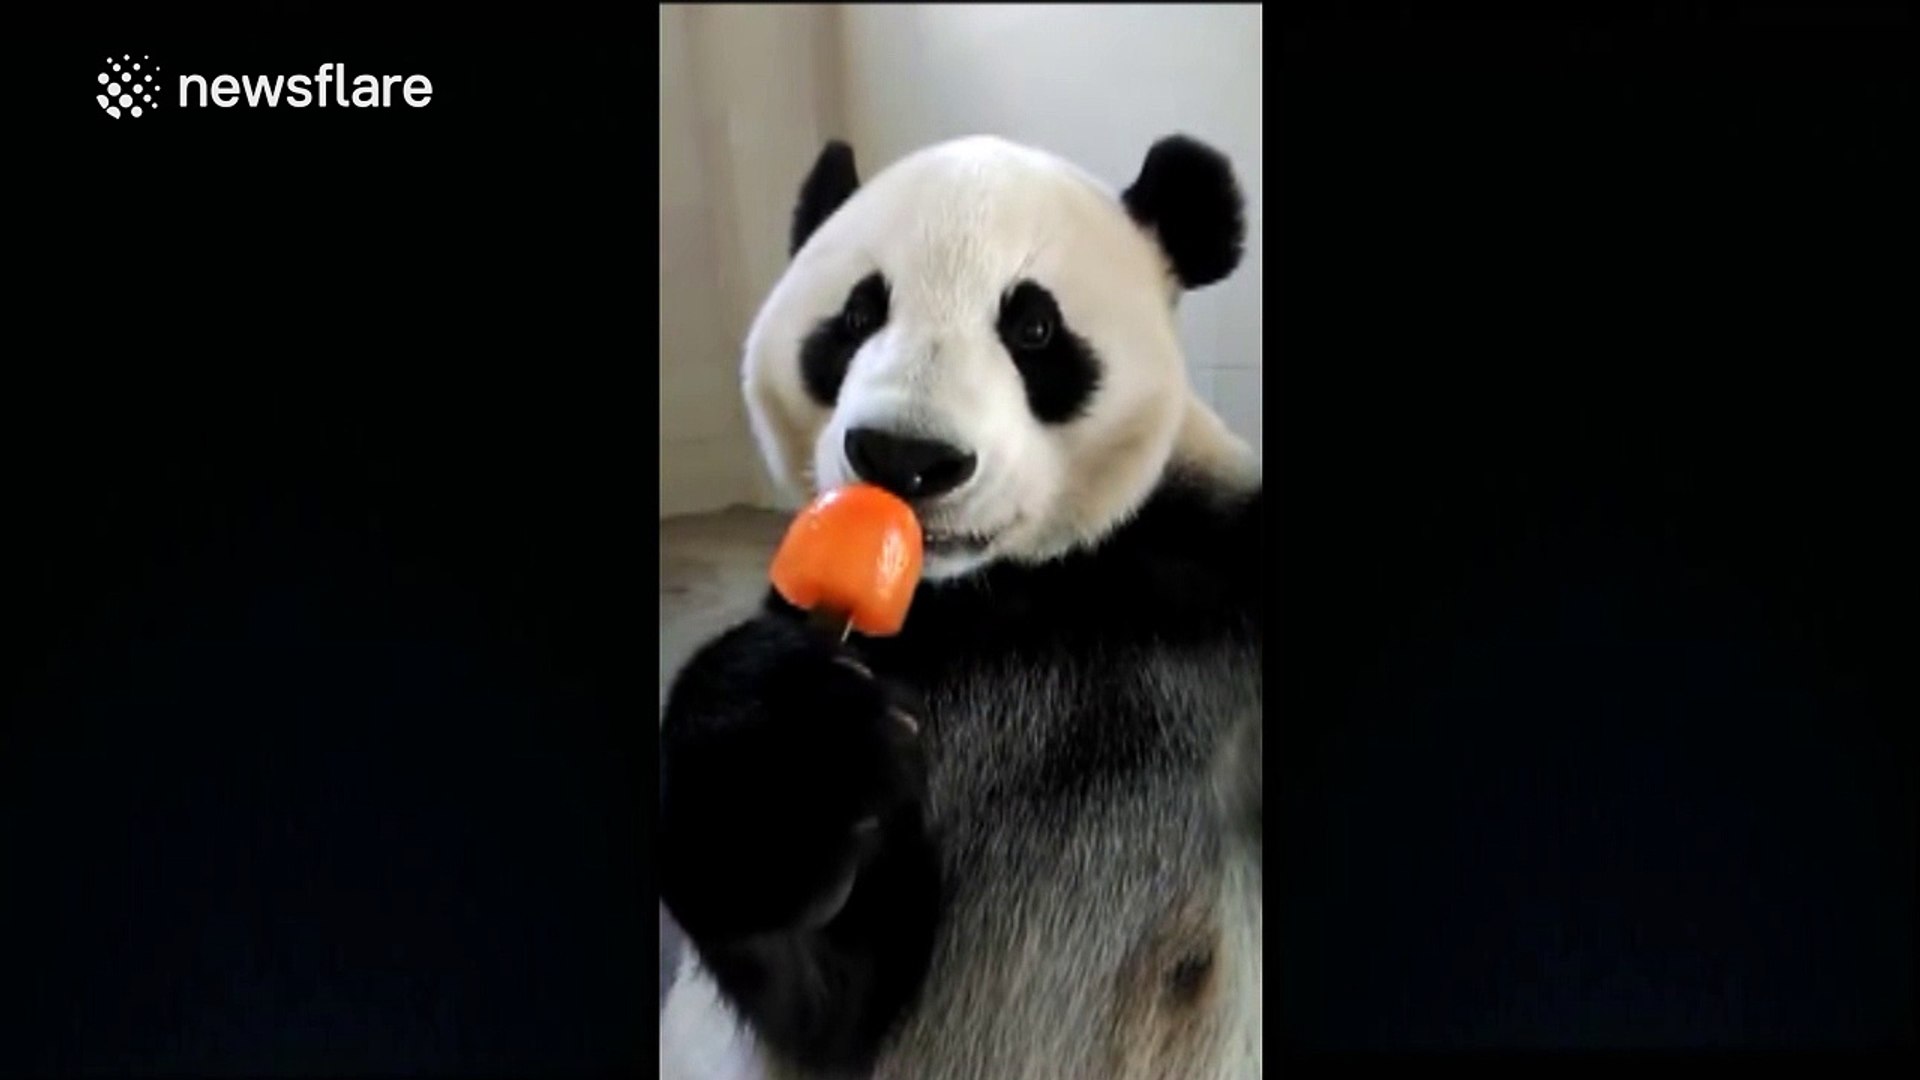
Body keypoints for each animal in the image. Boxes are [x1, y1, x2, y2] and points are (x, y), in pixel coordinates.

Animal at [659, 133, 1263, 1080]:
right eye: (857, 317)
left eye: (1033, 327)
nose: (904, 456)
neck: (1006, 589)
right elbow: (825, 990)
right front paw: (777, 766)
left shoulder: (1203, 572)